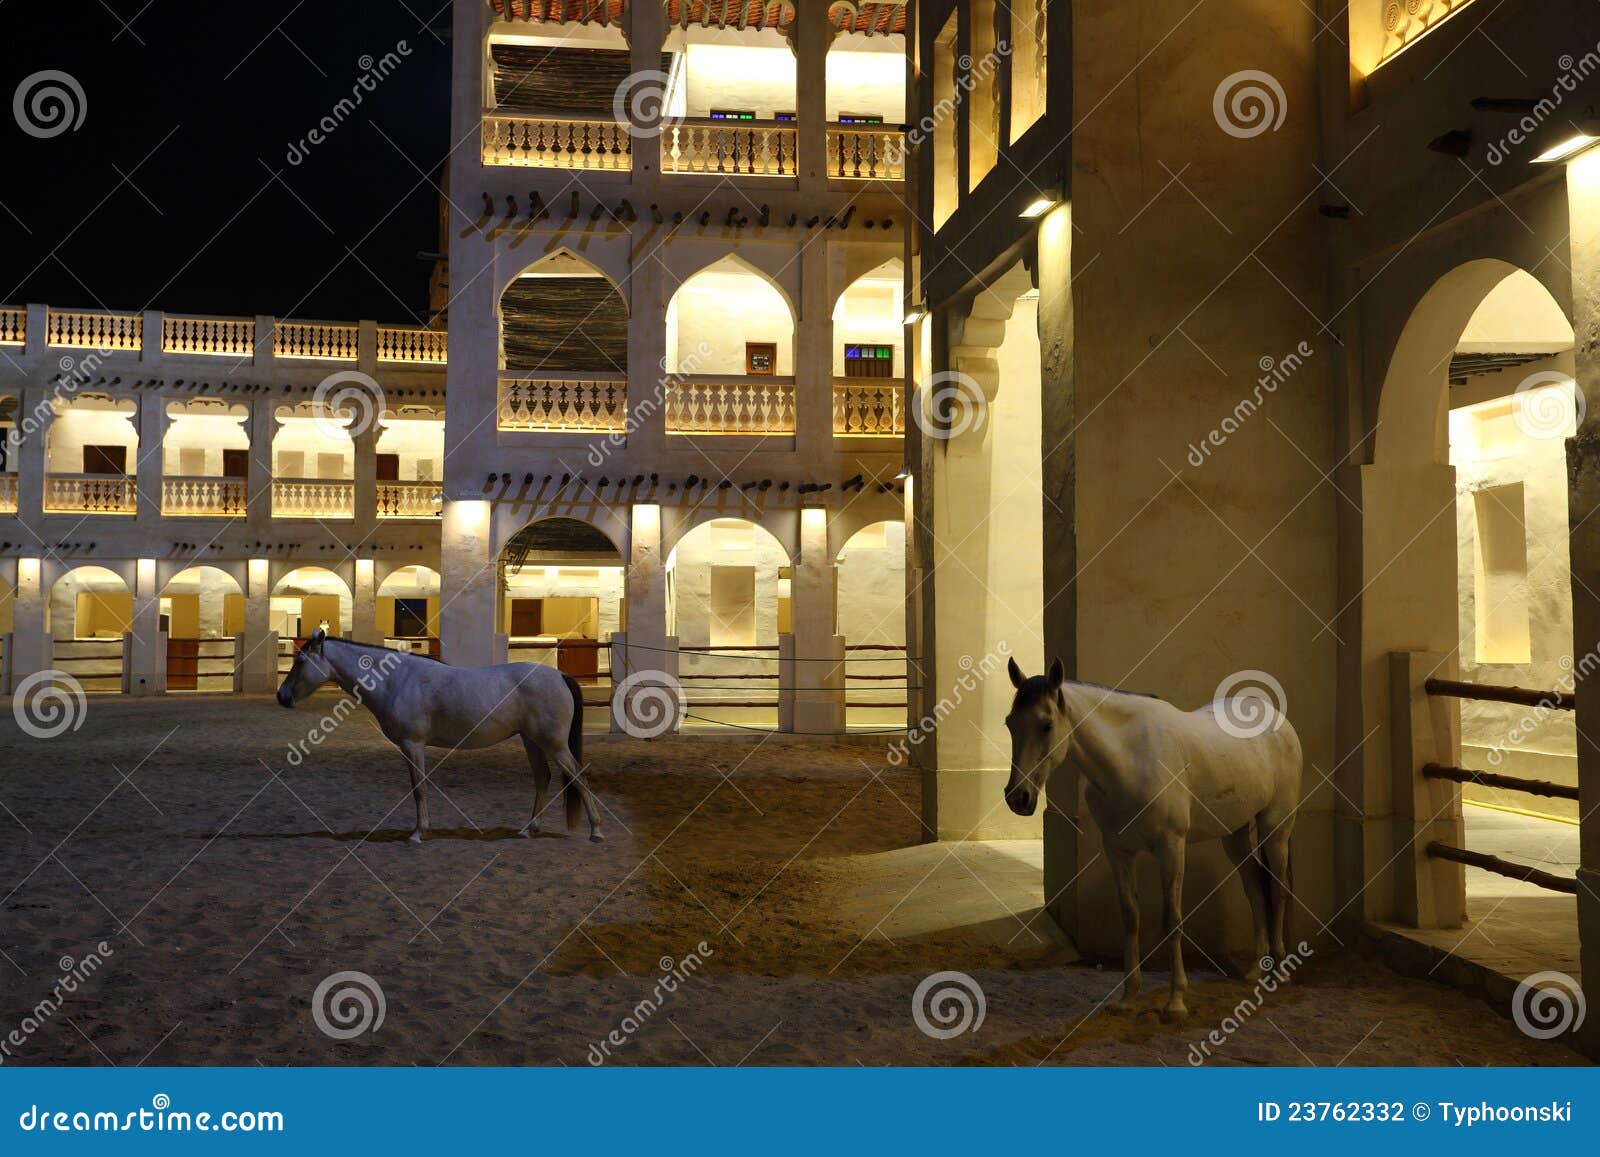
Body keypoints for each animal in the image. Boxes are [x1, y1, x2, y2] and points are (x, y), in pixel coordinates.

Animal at [275, 630, 603, 844]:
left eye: (301, 662)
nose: (282, 696)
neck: (396, 680)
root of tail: (559, 676)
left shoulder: (412, 744)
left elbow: (418, 788)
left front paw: (418, 833)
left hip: (553, 743)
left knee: (578, 776)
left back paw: (596, 831)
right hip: (531, 740)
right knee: (542, 778)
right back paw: (527, 829)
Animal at [1003, 658, 1301, 1021]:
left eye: (1046, 725)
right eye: (1009, 723)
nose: (1018, 797)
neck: (1131, 760)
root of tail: (1279, 721)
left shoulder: (1170, 846)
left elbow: (1171, 918)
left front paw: (1176, 1002)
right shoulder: (1118, 850)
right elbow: (1131, 916)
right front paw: (1128, 997)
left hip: (1276, 829)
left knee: (1279, 890)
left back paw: (1280, 972)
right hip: (1236, 835)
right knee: (1255, 888)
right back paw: (1256, 969)